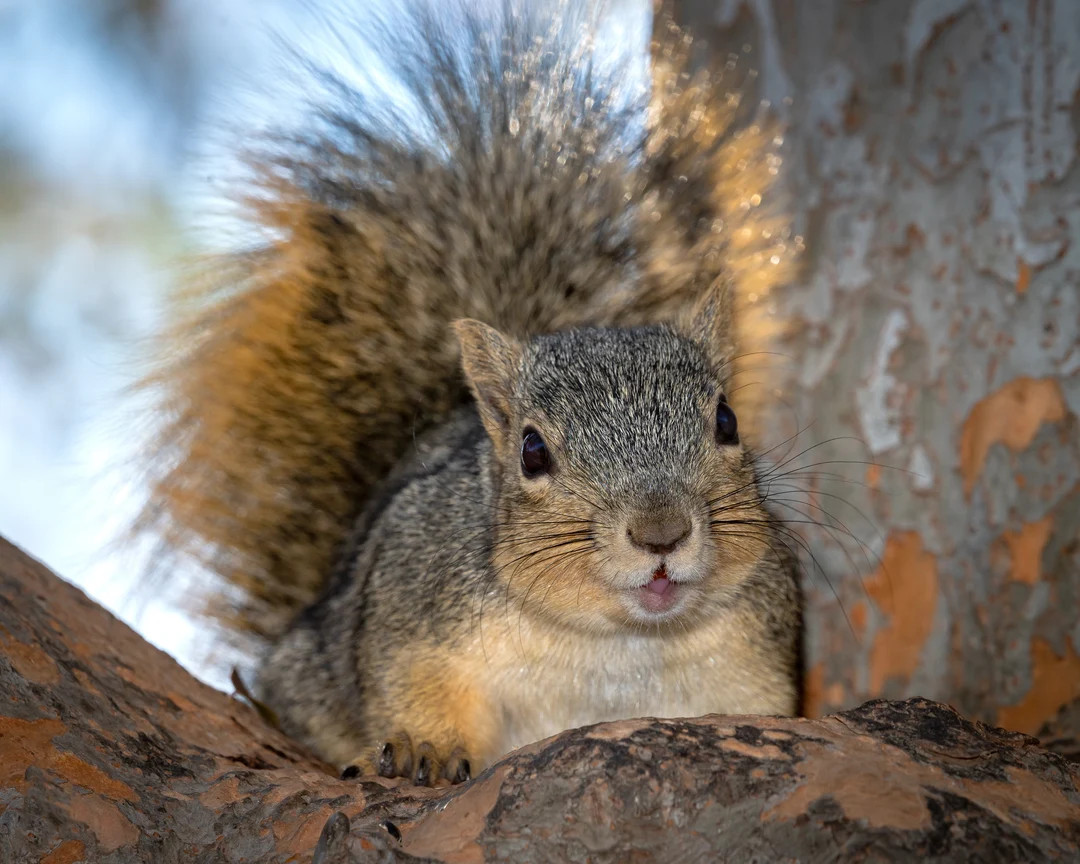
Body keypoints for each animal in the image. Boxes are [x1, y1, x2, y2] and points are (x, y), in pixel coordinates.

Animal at [136, 1, 803, 786]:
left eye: (727, 421)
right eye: (532, 452)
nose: (661, 534)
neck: (618, 641)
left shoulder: (755, 662)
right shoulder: (412, 606)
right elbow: (413, 686)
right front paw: (422, 748)